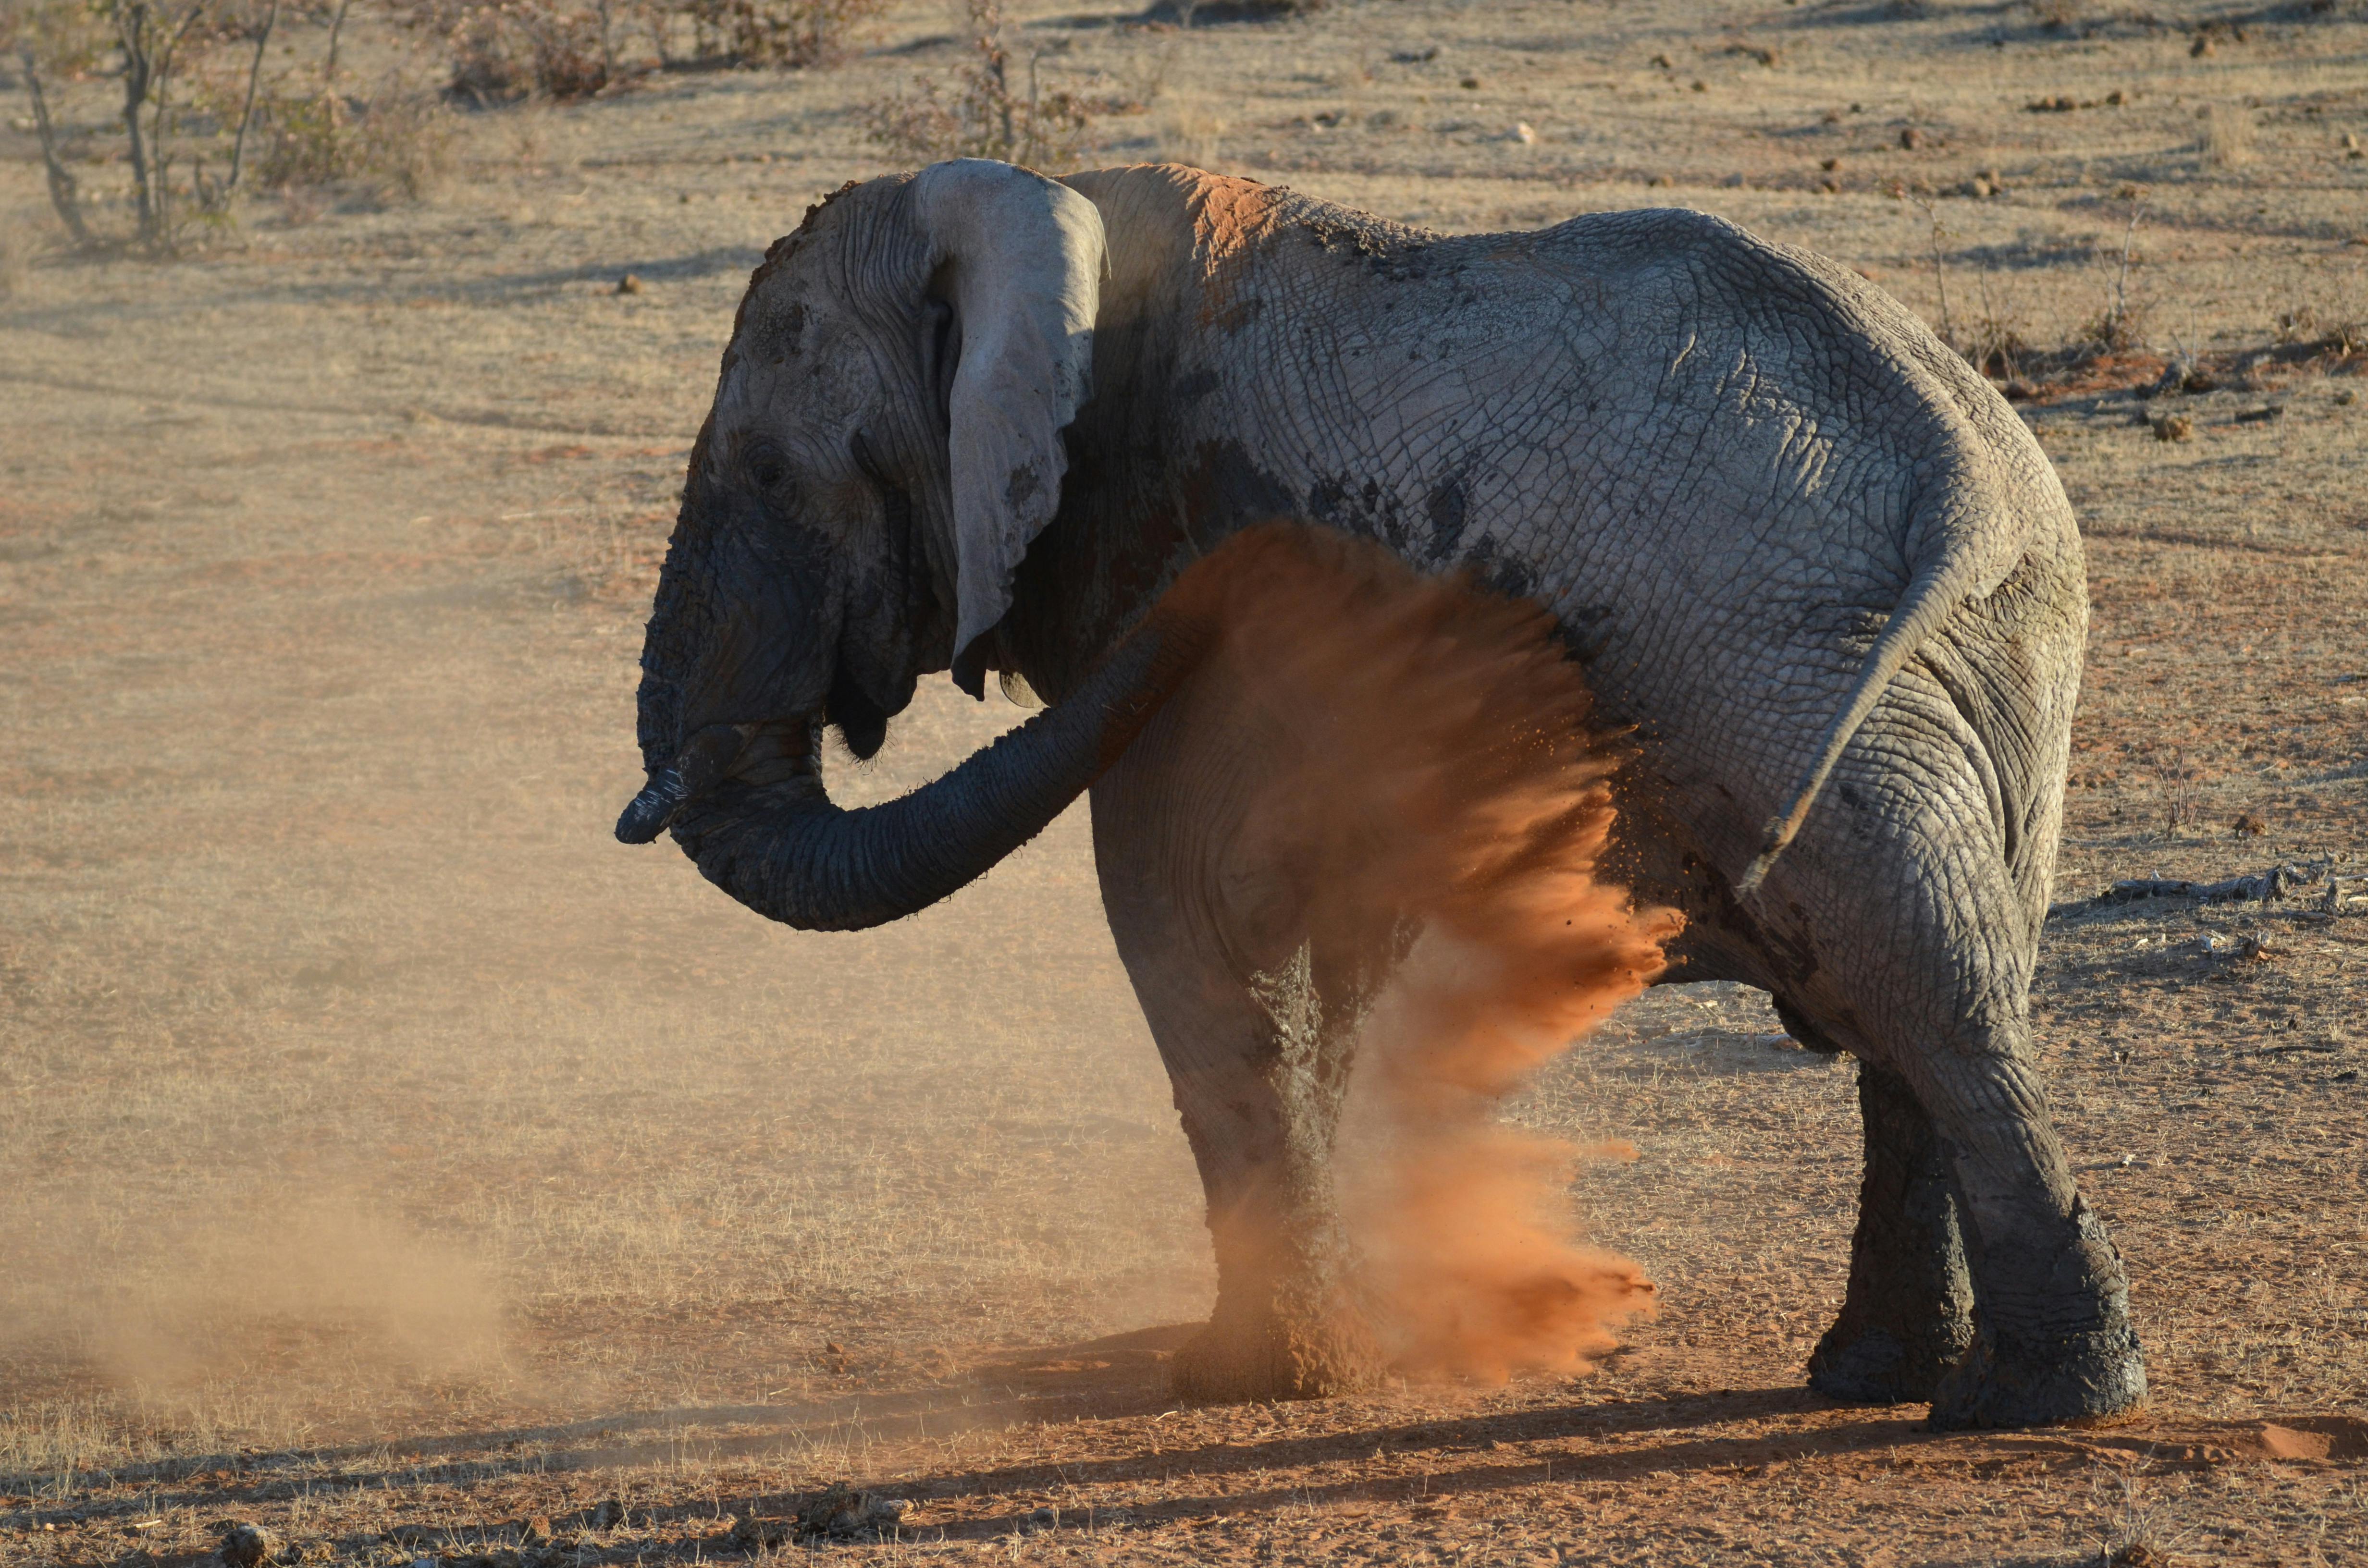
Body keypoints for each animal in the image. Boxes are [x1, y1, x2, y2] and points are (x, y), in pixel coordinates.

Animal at [615, 158, 2146, 1429]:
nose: (1297, 560)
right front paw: (1338, 1344)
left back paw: (2026, 1405)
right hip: (1992, 667)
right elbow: (1322, 963)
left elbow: (1187, 921)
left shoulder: (1190, 617)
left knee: (1923, 986)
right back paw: (1883, 1380)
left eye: (770, 471)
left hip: (1785, 662)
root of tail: (1972, 482)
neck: (1061, 224)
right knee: (1926, 984)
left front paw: (1247, 1382)